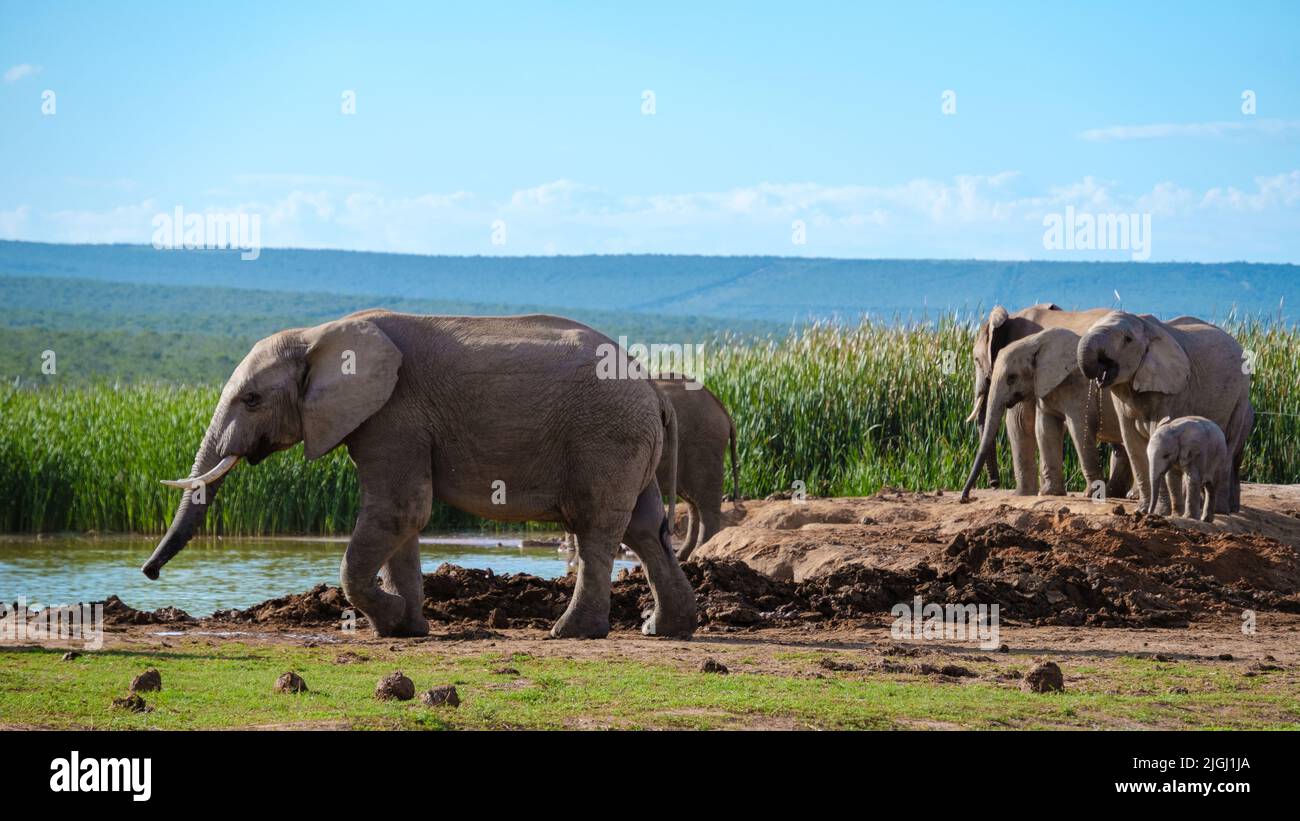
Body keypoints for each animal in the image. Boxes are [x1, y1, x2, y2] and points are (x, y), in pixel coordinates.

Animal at [142, 310, 698, 640]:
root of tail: (653, 387)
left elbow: (399, 509)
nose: (148, 574)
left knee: (598, 526)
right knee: (646, 528)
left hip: (606, 438)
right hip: (628, 442)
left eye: (252, 399)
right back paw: (664, 629)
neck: (319, 334)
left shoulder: (393, 414)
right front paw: (407, 628)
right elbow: (404, 520)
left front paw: (388, 618)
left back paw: (571, 632)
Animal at [1077, 311, 1253, 515]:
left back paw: (1220, 511)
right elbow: (1132, 444)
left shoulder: (1173, 391)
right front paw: (1144, 510)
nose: (1099, 374)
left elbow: (1157, 435)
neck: (1145, 326)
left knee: (1229, 445)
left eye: (1128, 340)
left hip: (1241, 396)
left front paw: (1159, 513)